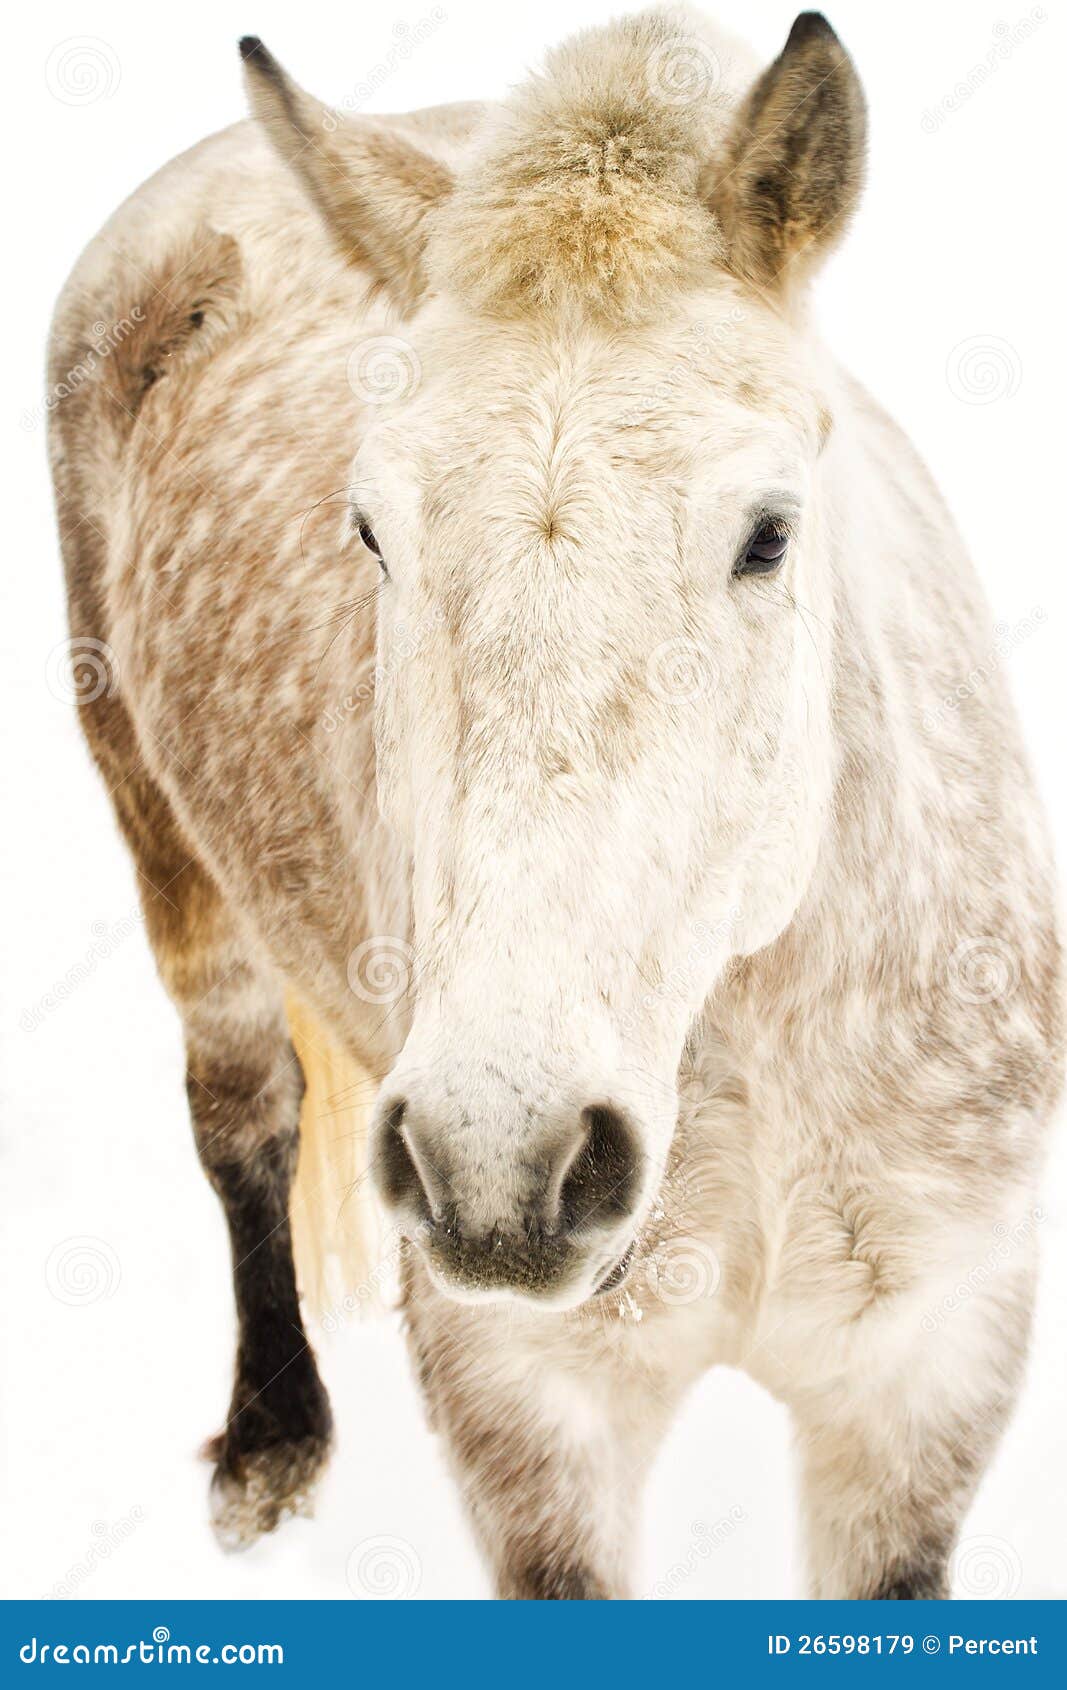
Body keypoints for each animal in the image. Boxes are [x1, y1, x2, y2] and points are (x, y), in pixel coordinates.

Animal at [48, 6, 1062, 1598]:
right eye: (370, 529)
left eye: (767, 534)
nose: (499, 1160)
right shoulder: (528, 1411)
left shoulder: (926, 1375)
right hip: (167, 848)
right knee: (241, 1113)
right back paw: (272, 1439)